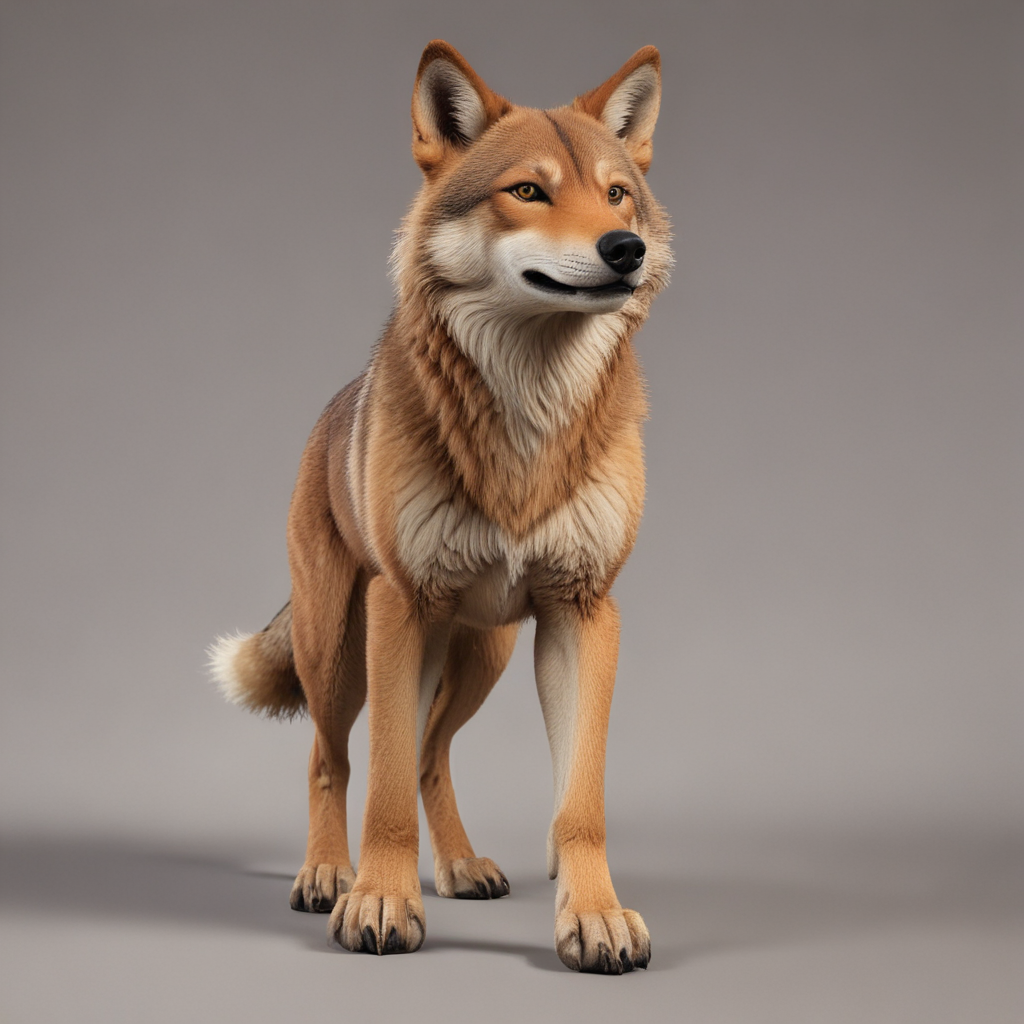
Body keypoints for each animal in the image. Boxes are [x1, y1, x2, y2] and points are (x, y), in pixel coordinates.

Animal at [210, 39, 671, 973]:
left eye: (616, 193)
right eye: (528, 191)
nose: (626, 247)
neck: (528, 415)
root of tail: (329, 413)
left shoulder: (585, 615)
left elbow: (578, 803)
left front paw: (594, 916)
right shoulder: (401, 608)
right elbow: (380, 787)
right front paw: (381, 901)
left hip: (483, 656)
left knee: (431, 755)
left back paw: (459, 867)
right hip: (339, 654)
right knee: (331, 759)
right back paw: (328, 875)